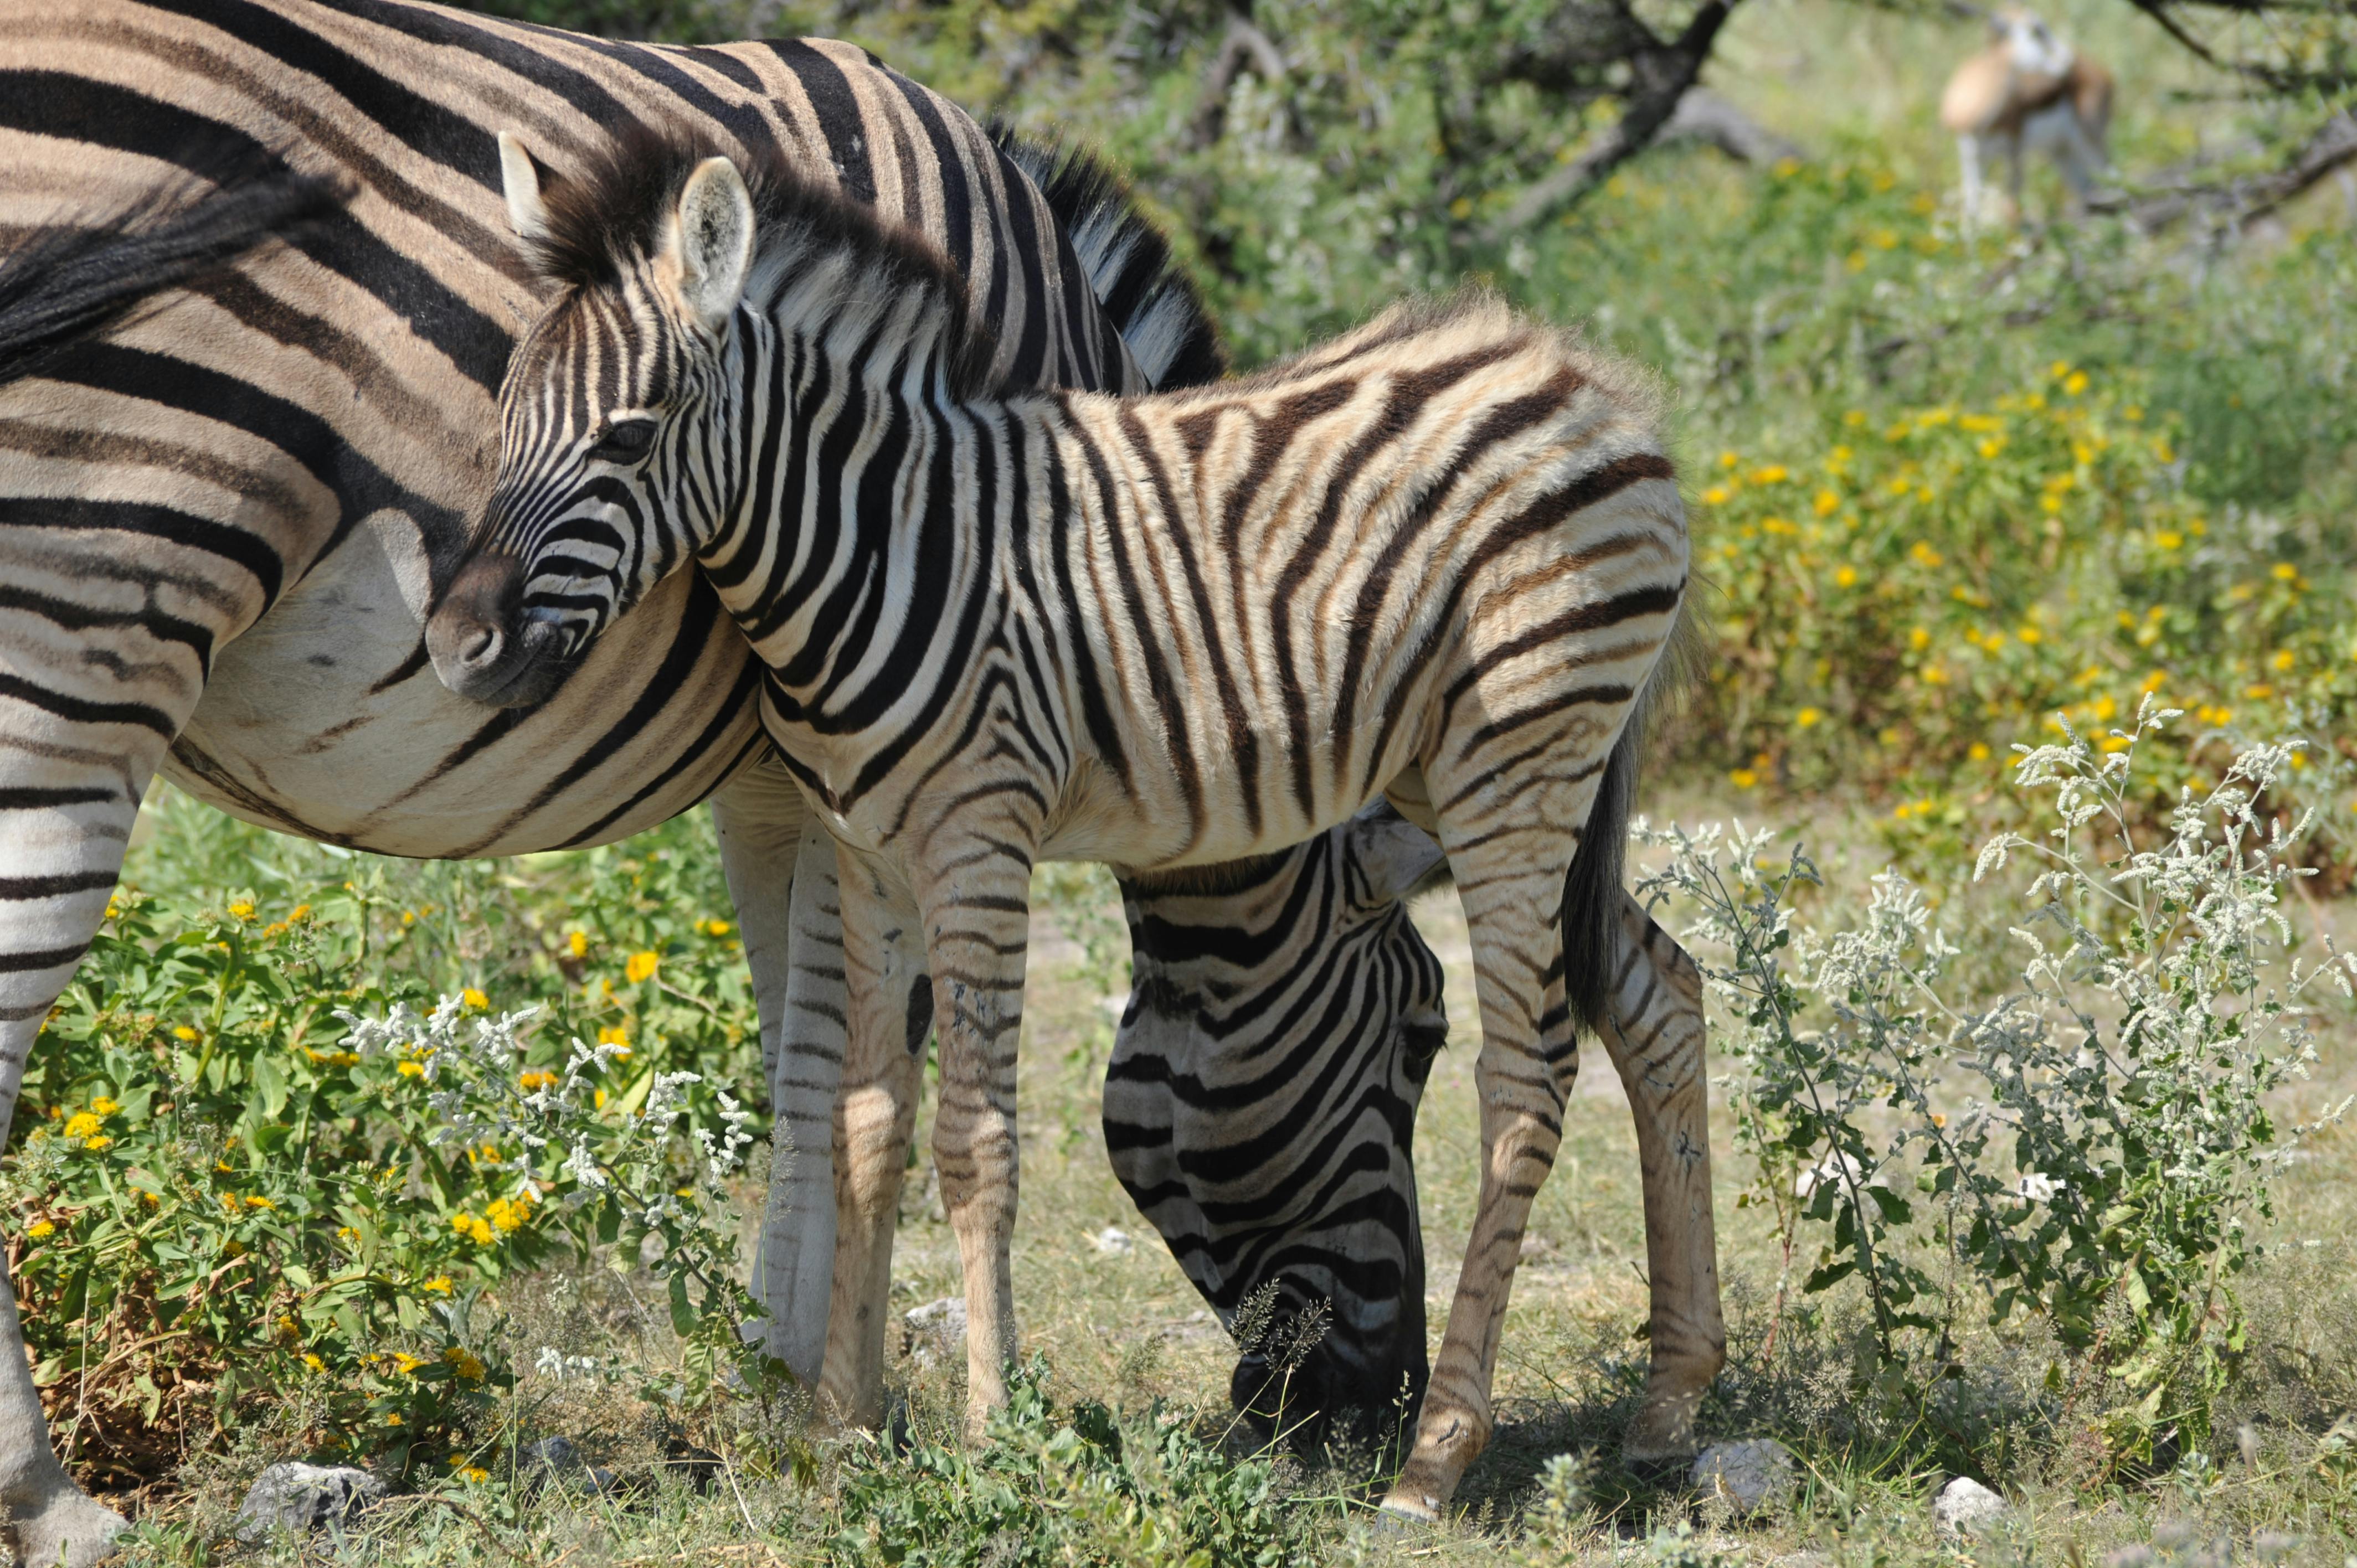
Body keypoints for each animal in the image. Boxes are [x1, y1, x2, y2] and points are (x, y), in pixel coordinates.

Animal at [0, 5, 1482, 1558]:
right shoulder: (885, 746)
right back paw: (50, 1498)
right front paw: (844, 1408)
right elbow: (859, 1068)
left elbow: (792, 1057)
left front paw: (785, 1382)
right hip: (96, 608)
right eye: (1423, 1034)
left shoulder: (783, 771)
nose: (1372, 1406)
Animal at [438, 129, 1713, 1516]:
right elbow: (866, 1131)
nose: (455, 645)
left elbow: (973, 1142)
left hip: (1517, 759)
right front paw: (843, 1425)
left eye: (628, 437)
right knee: (1659, 991)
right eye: (503, 417)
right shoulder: (866, 852)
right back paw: (1668, 1407)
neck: (875, 546)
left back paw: (1437, 1460)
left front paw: (993, 1433)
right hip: (1484, 770)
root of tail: (1587, 379)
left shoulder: (978, 839)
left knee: (1528, 1073)